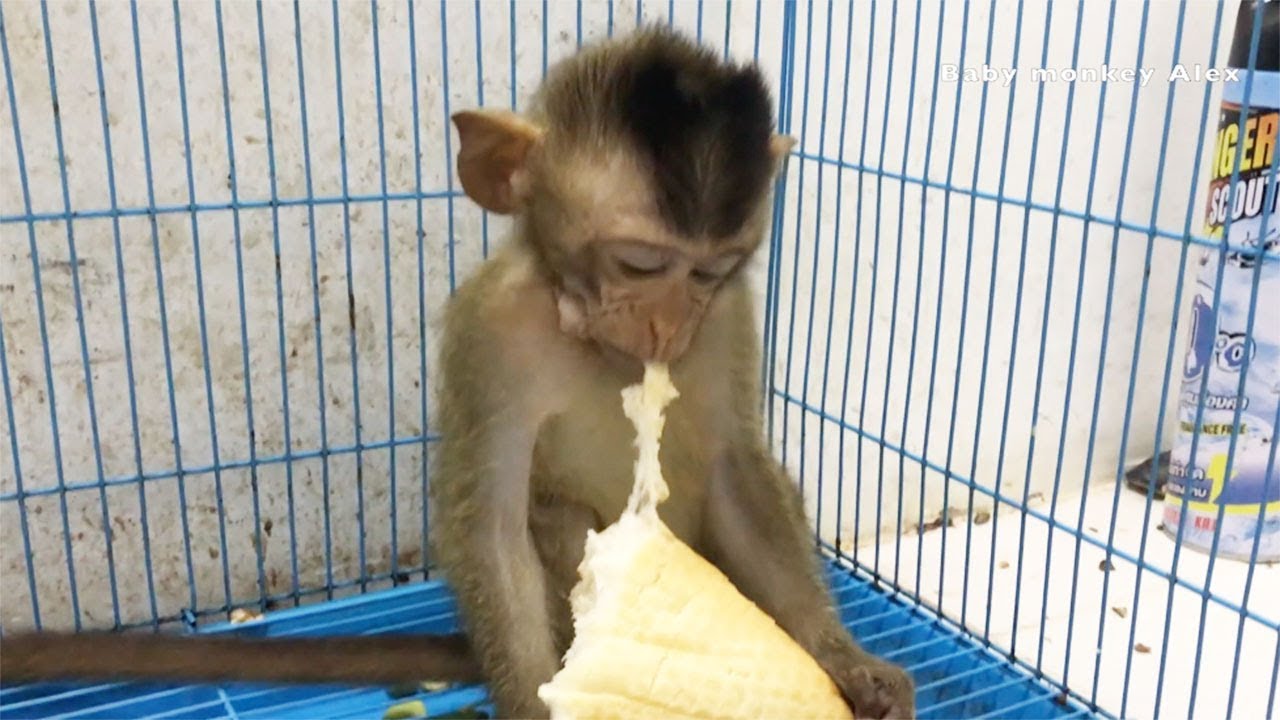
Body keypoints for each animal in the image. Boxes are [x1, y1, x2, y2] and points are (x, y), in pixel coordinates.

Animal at [1, 27, 914, 720]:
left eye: (710, 271)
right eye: (638, 262)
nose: (666, 325)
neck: (587, 330)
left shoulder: (728, 319)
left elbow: (735, 469)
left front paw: (845, 662)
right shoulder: (492, 330)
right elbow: (495, 522)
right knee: (554, 520)